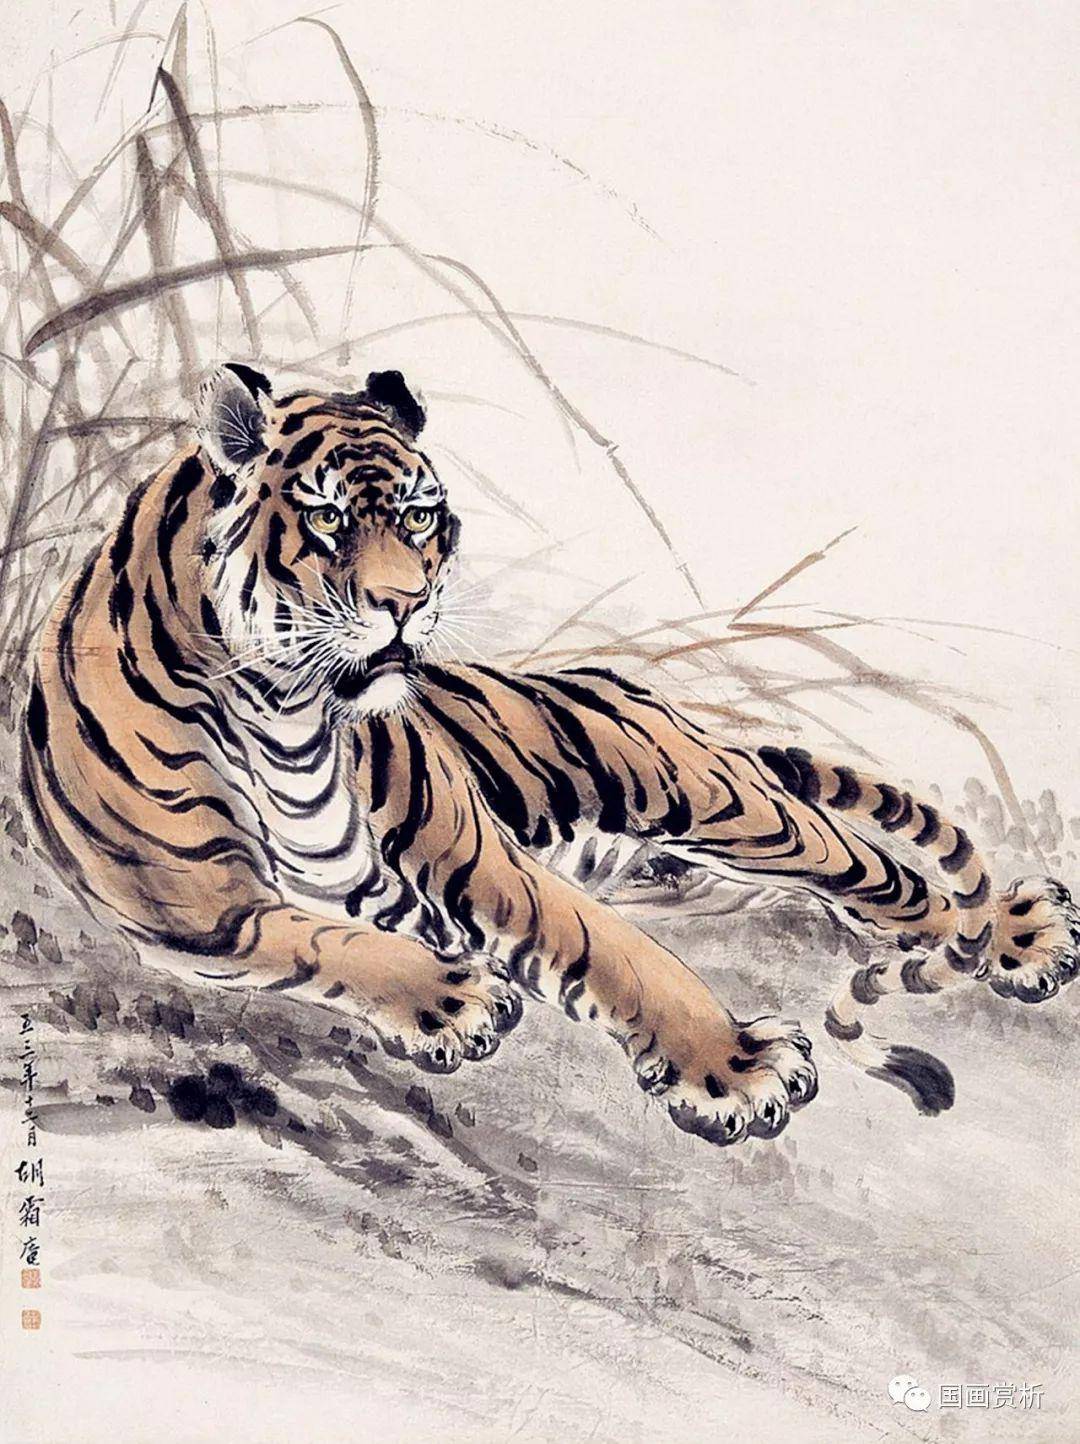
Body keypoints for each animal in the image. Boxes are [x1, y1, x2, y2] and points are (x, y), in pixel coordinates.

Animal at [21, 362, 1080, 1147]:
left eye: (418, 516)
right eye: (325, 519)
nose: (406, 603)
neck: (284, 705)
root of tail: (640, 693)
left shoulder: (476, 856)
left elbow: (613, 952)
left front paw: (733, 1070)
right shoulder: (204, 913)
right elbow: (330, 942)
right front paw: (451, 1004)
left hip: (717, 803)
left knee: (880, 875)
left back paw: (1022, 935)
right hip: (705, 872)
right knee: (837, 899)